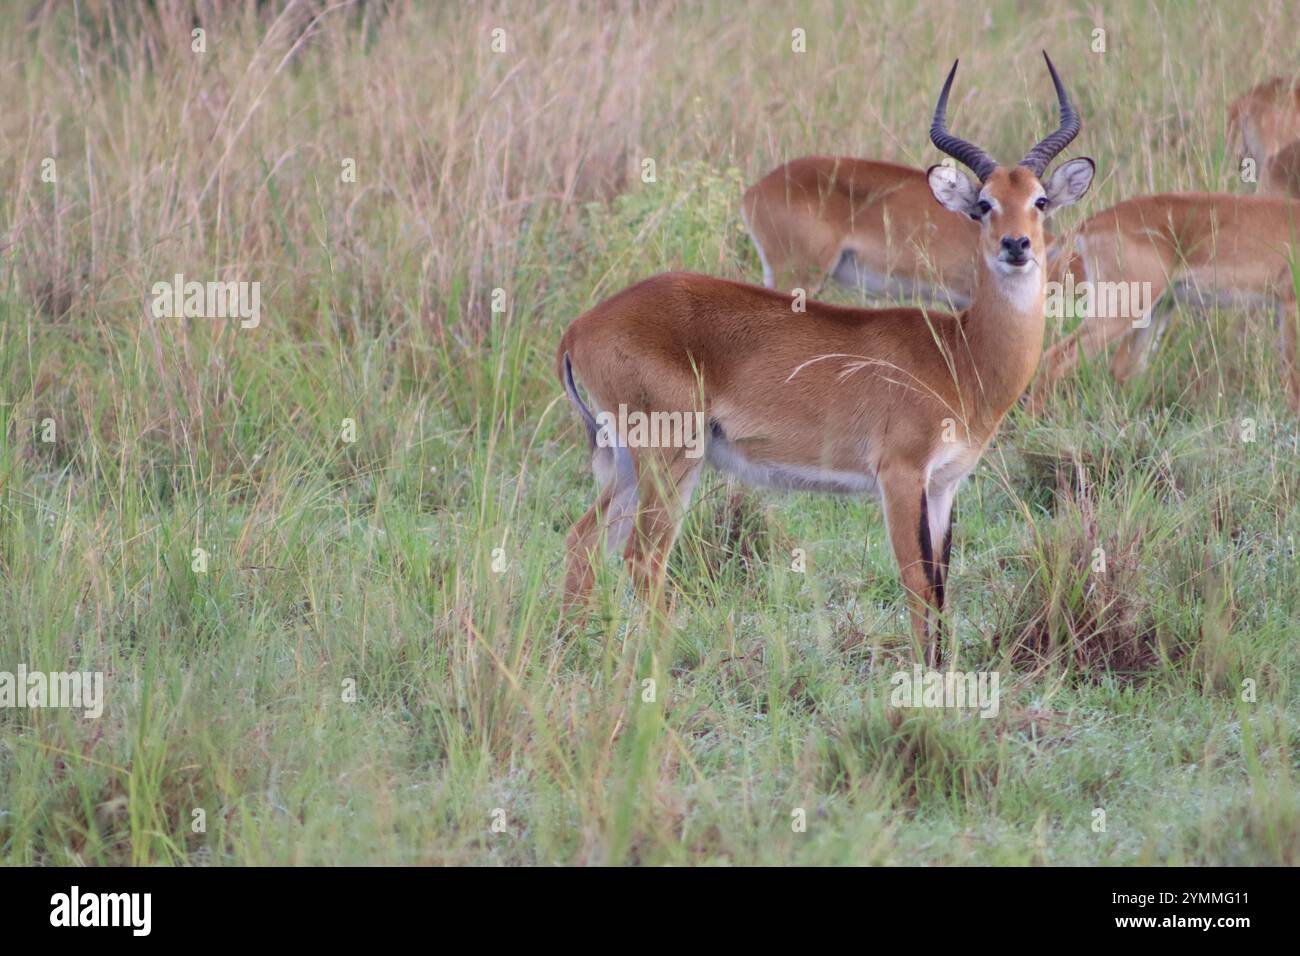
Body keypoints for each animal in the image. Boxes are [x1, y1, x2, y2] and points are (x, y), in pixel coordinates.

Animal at [557, 53, 1095, 665]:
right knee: (642, 559)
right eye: (984, 204)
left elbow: (941, 585)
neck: (960, 355)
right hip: (670, 458)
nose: (1016, 245)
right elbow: (916, 581)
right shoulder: (900, 475)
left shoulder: (944, 486)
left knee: (582, 544)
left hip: (626, 461)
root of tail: (580, 327)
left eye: (1040, 201)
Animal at [1028, 192, 1300, 412]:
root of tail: (1092, 222)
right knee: (1055, 358)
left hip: (1157, 308)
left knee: (1123, 367)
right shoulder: (1291, 305)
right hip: (1123, 309)